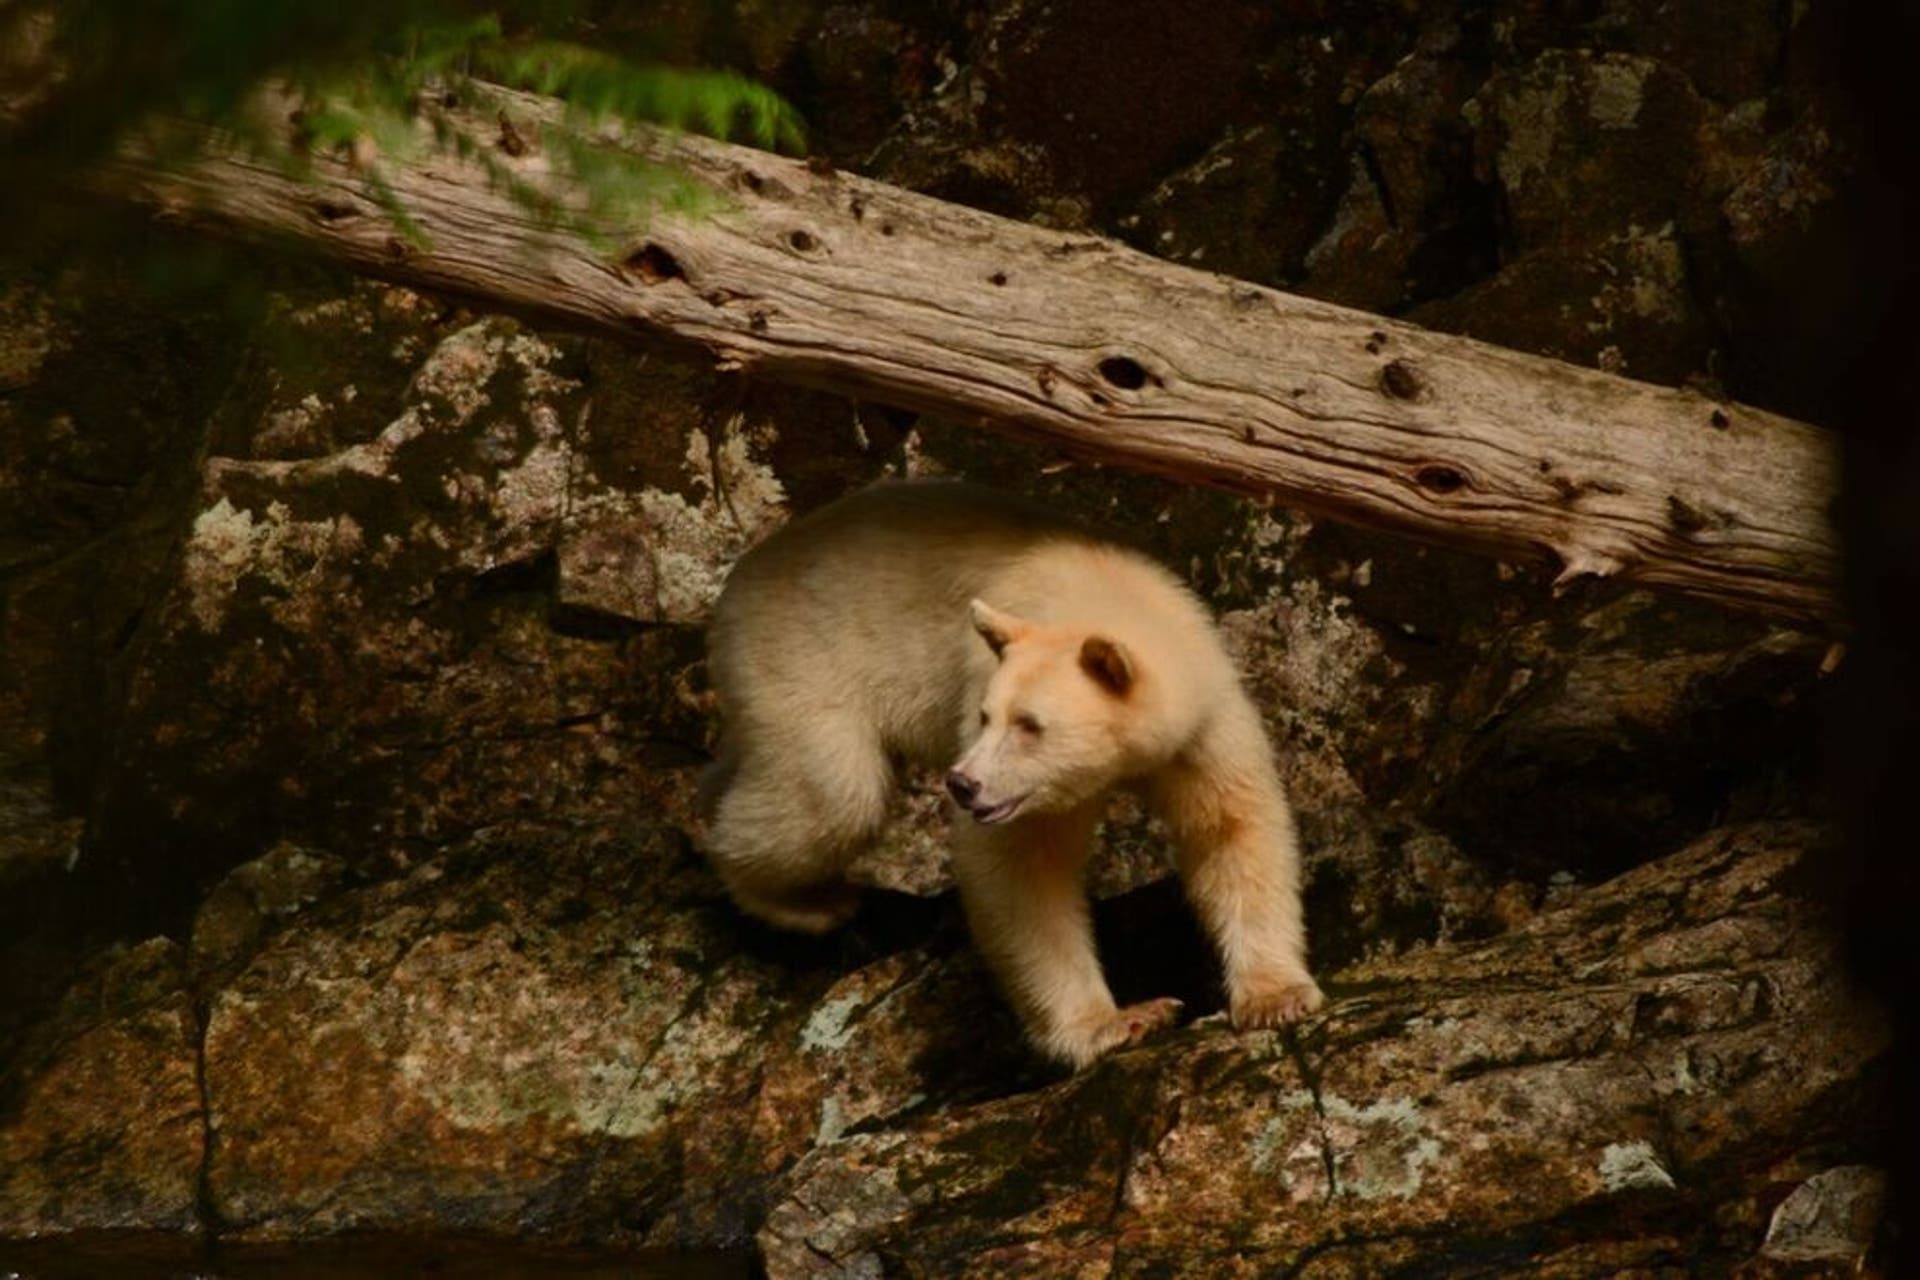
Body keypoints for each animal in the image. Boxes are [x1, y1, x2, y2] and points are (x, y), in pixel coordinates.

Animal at [701, 479, 1323, 1067]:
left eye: (1030, 724)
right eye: (985, 716)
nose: (963, 784)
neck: (1102, 592)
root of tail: (736, 587)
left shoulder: (1202, 724)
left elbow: (1233, 827)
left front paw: (1276, 996)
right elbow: (1022, 871)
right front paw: (1117, 1022)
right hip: (801, 663)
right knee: (832, 793)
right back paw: (802, 901)